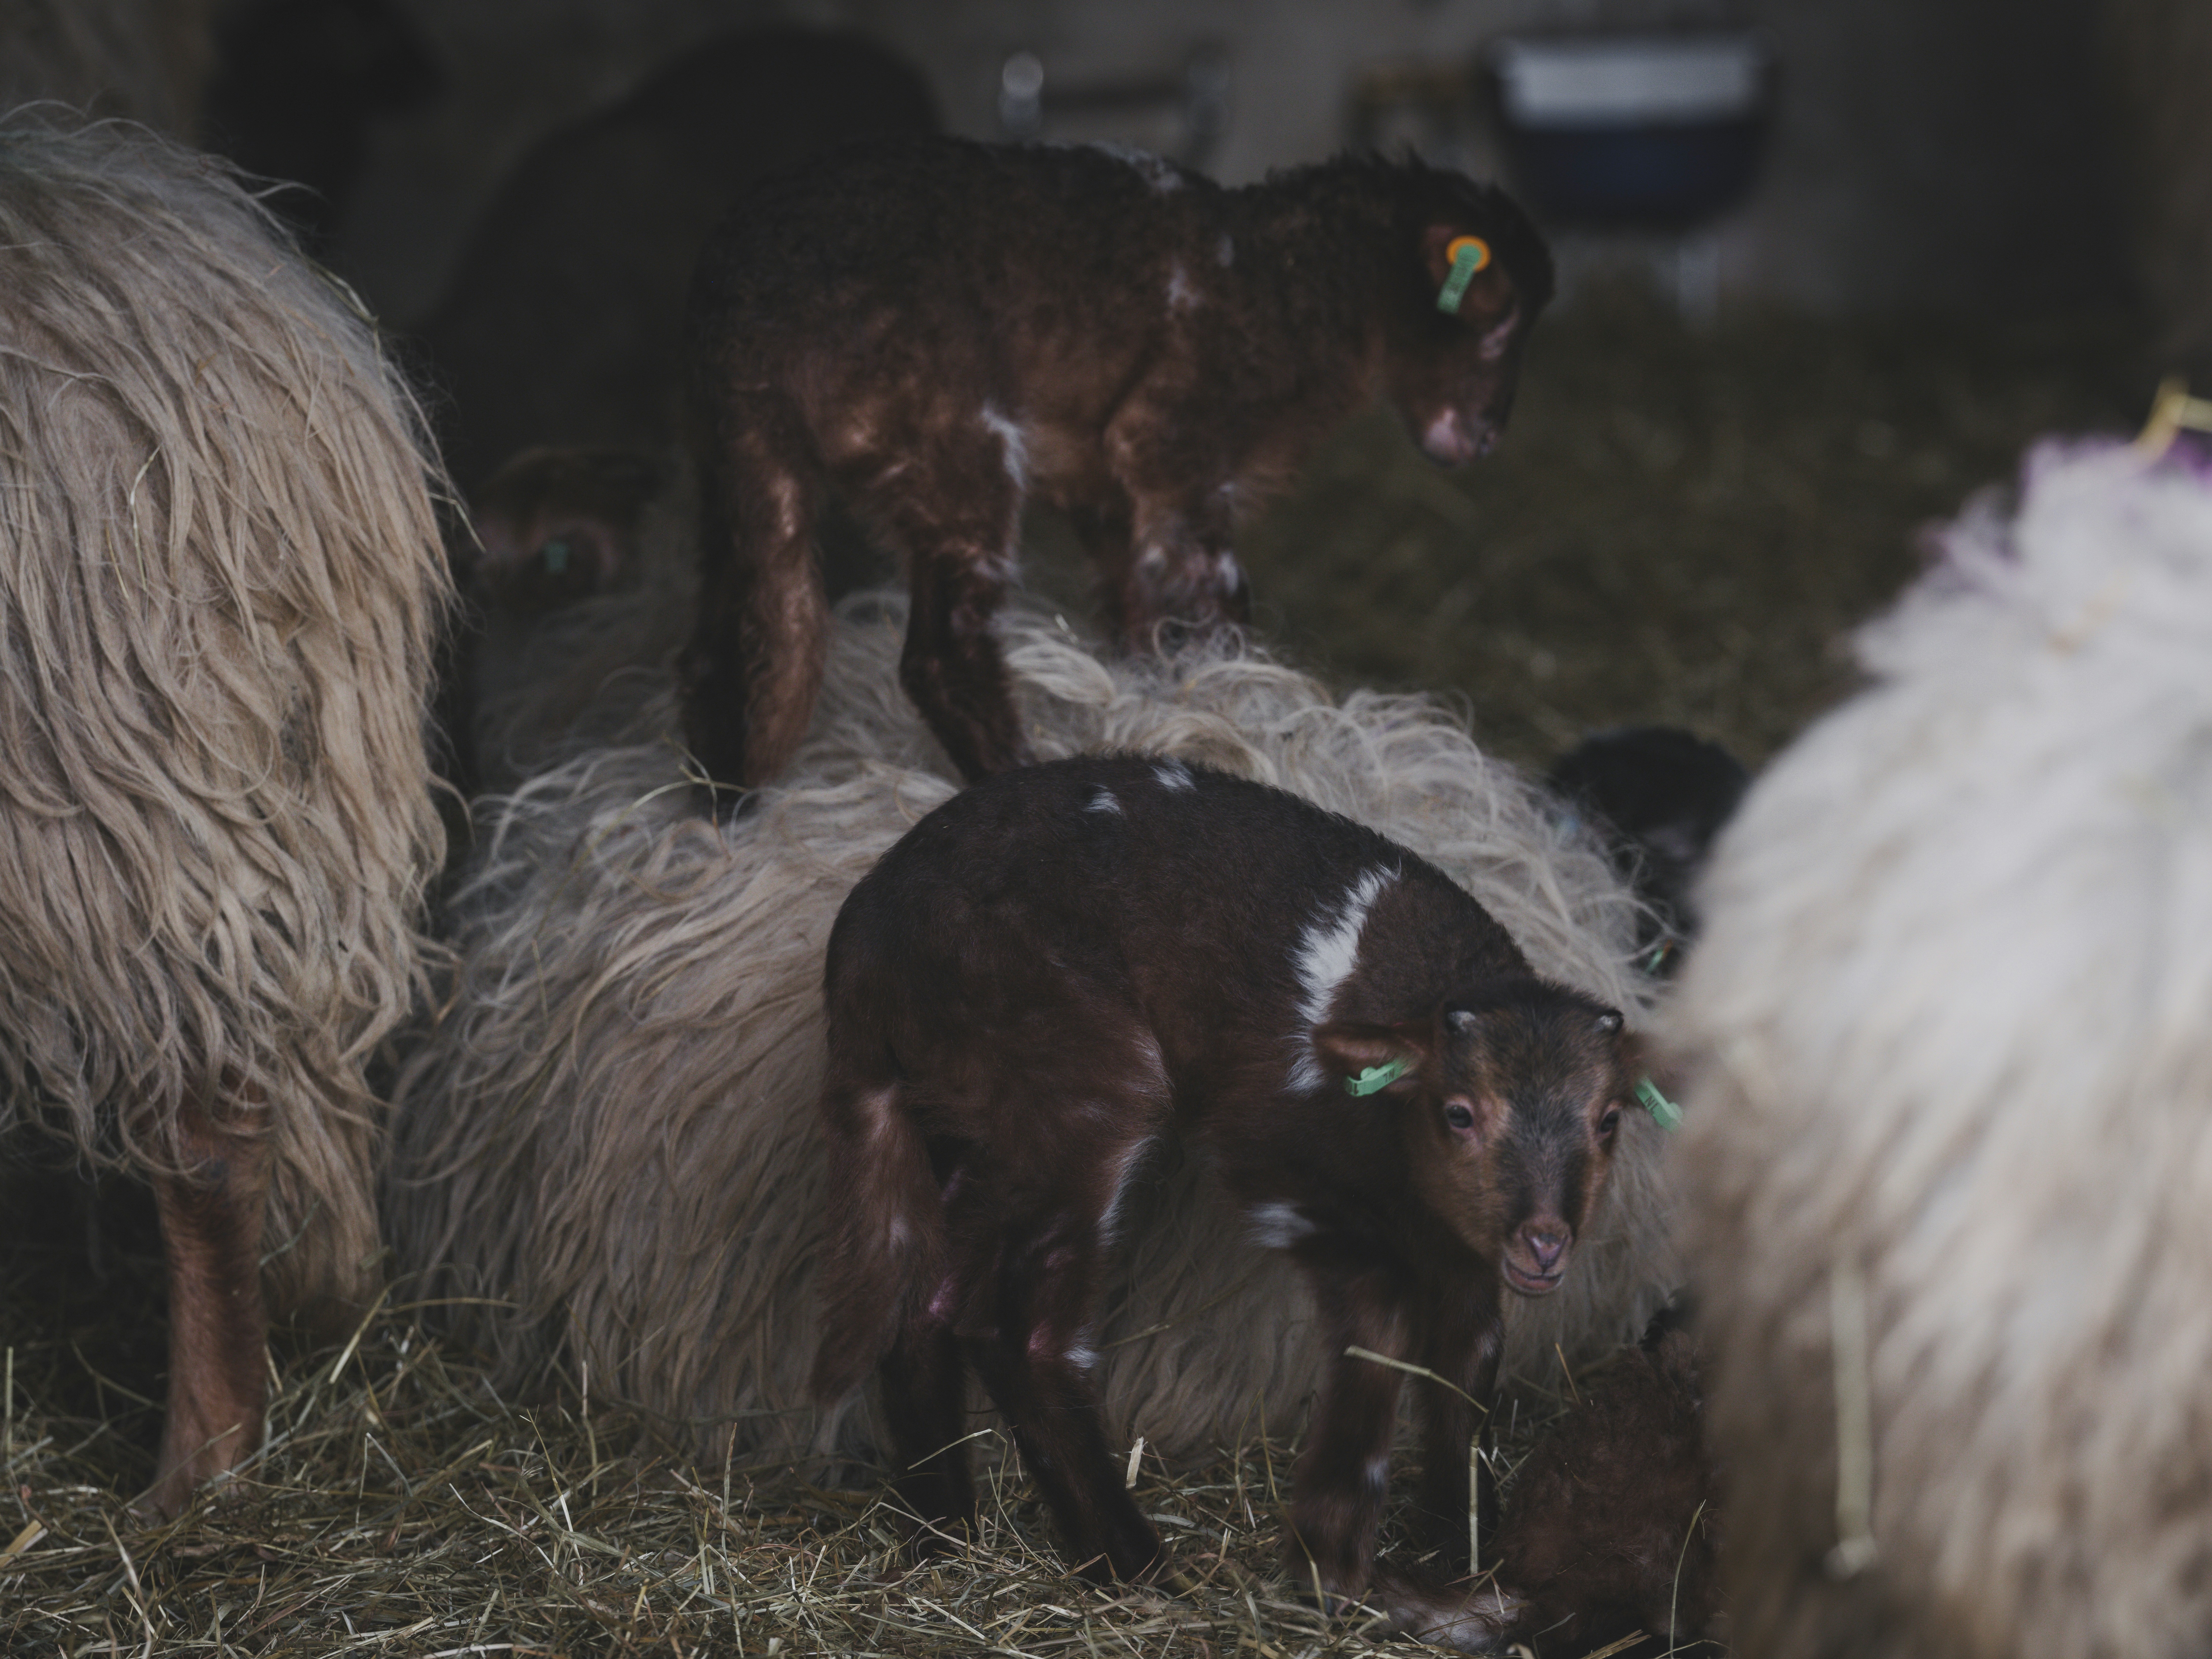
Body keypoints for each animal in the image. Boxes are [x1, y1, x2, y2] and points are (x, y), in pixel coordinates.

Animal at [676, 138, 1553, 790]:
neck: (1302, 283)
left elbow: (1136, 613)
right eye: (1499, 324)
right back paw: (1018, 775)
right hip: (948, 435)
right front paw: (1241, 698)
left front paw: (1153, 691)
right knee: (940, 655)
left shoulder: (1102, 486)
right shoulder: (1173, 439)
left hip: (741, 477)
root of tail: (742, 322)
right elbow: (1224, 605)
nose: (1485, 440)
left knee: (737, 647)